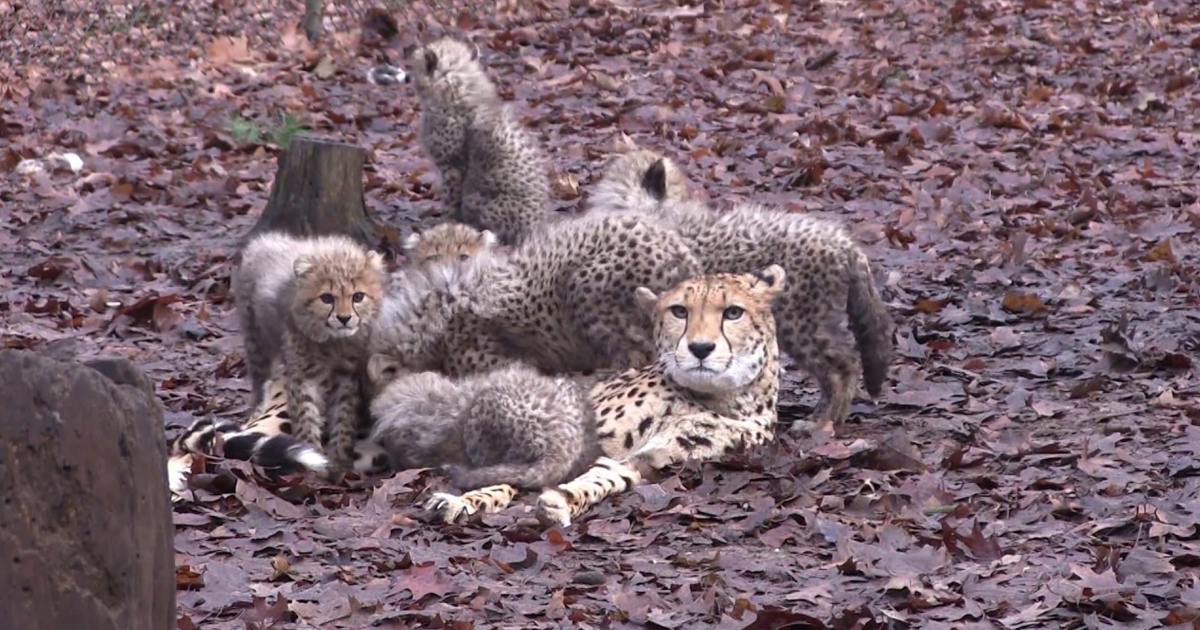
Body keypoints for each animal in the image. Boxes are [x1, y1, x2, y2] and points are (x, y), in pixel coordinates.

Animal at [405, 37, 549, 246]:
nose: (409, 78)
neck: (455, 90)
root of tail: (540, 226)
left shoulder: (452, 167)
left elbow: (450, 201)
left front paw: (445, 225)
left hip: (475, 199)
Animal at [420, 266, 787, 526]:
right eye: (680, 311)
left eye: (733, 312)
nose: (700, 348)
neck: (712, 397)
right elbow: (512, 471)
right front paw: (465, 500)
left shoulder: (647, 459)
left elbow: (604, 477)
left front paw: (562, 500)